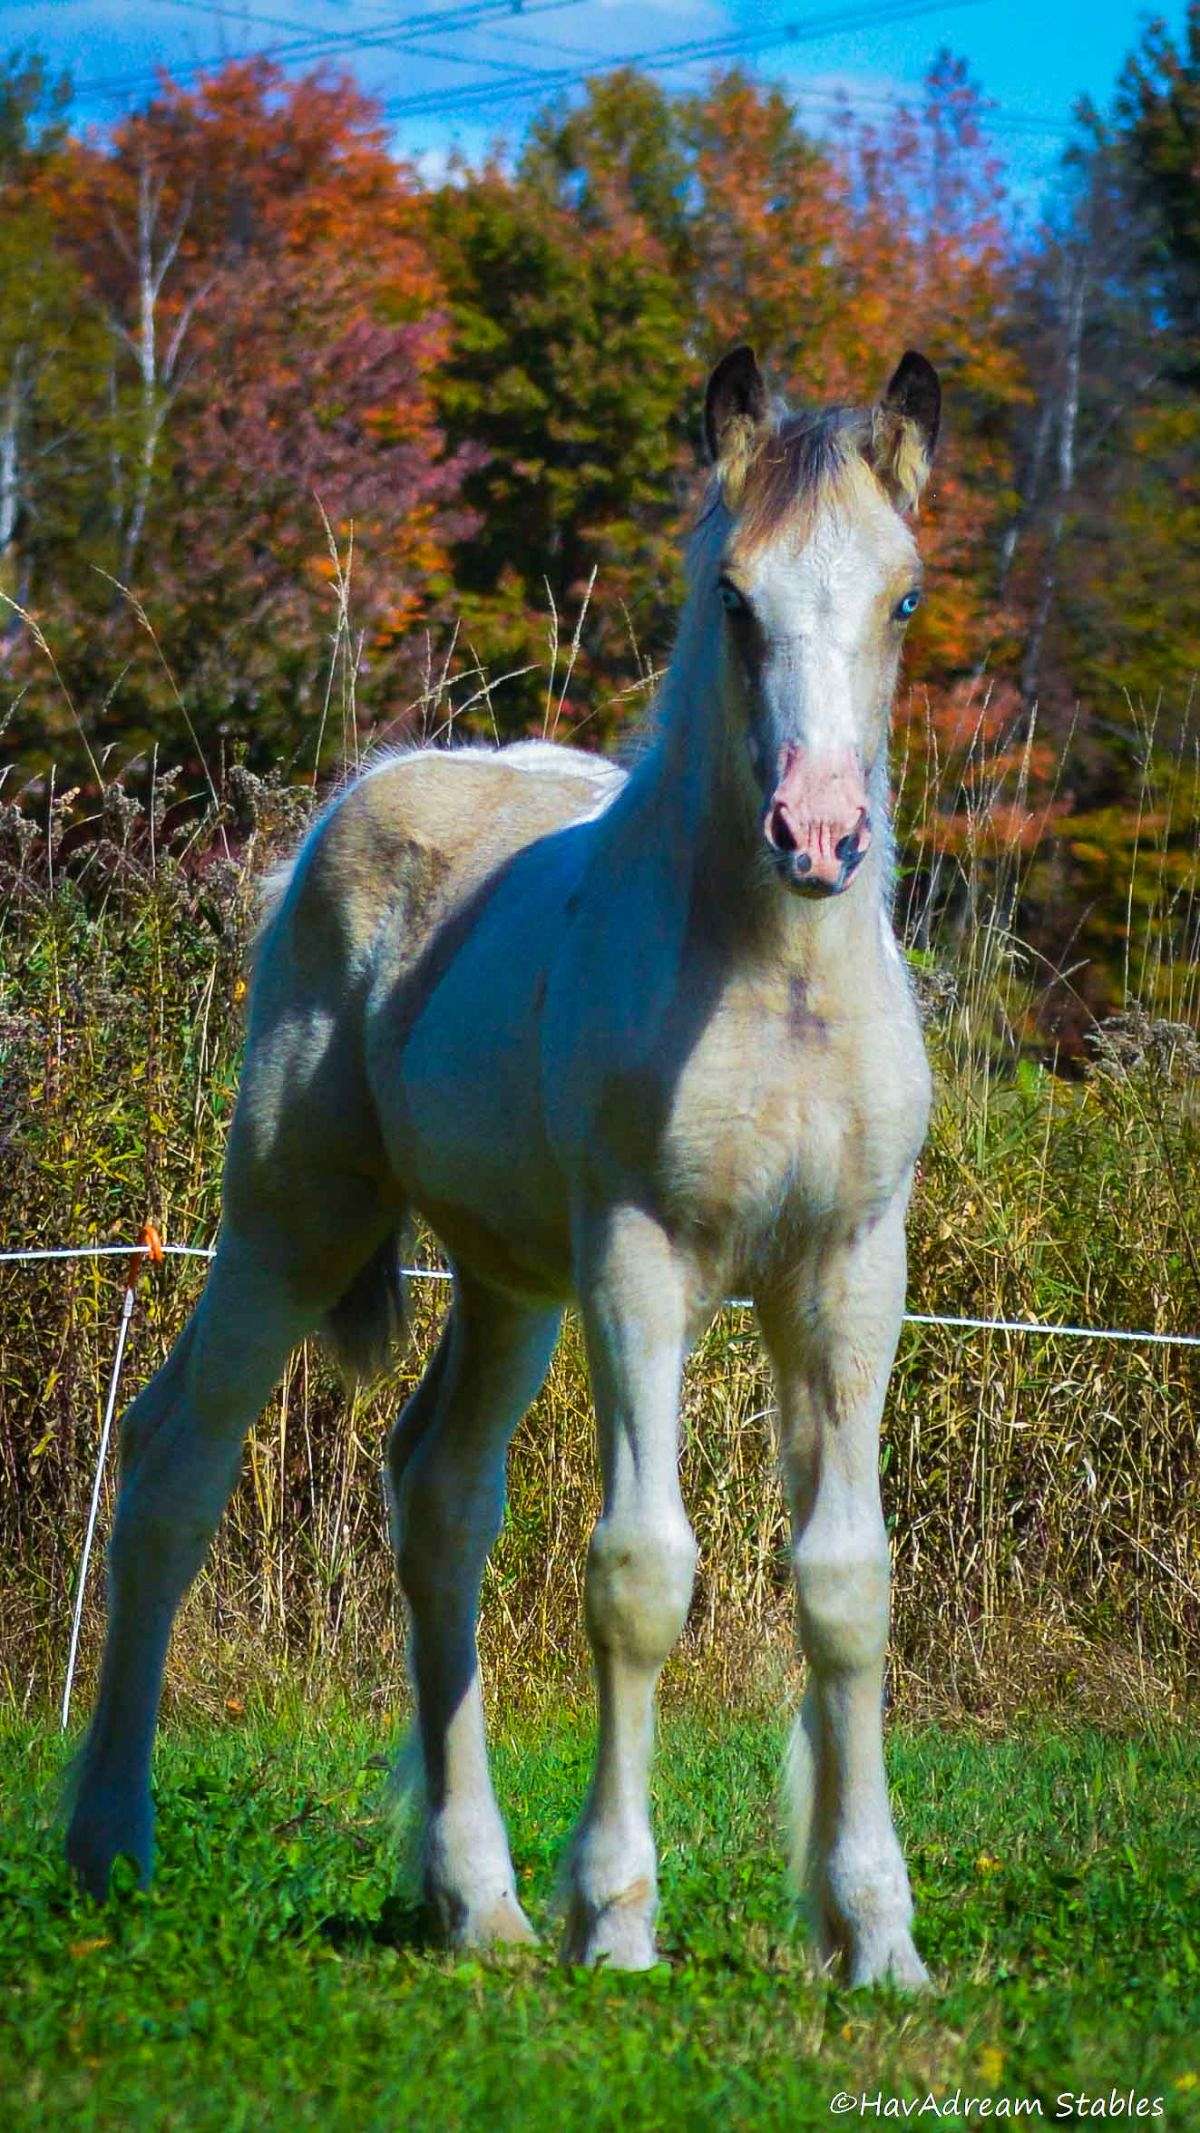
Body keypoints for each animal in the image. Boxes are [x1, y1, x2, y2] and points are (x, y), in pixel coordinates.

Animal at [67, 343, 940, 1989]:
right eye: (733, 595)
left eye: (905, 597)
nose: (818, 834)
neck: (776, 979)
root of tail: (364, 798)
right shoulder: (641, 1260)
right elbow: (641, 1573)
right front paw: (621, 1919)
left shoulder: (850, 1270)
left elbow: (851, 1584)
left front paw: (876, 1934)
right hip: (293, 1220)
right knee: (173, 1465)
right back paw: (111, 1847)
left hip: (508, 1281)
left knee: (440, 1498)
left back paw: (476, 1900)